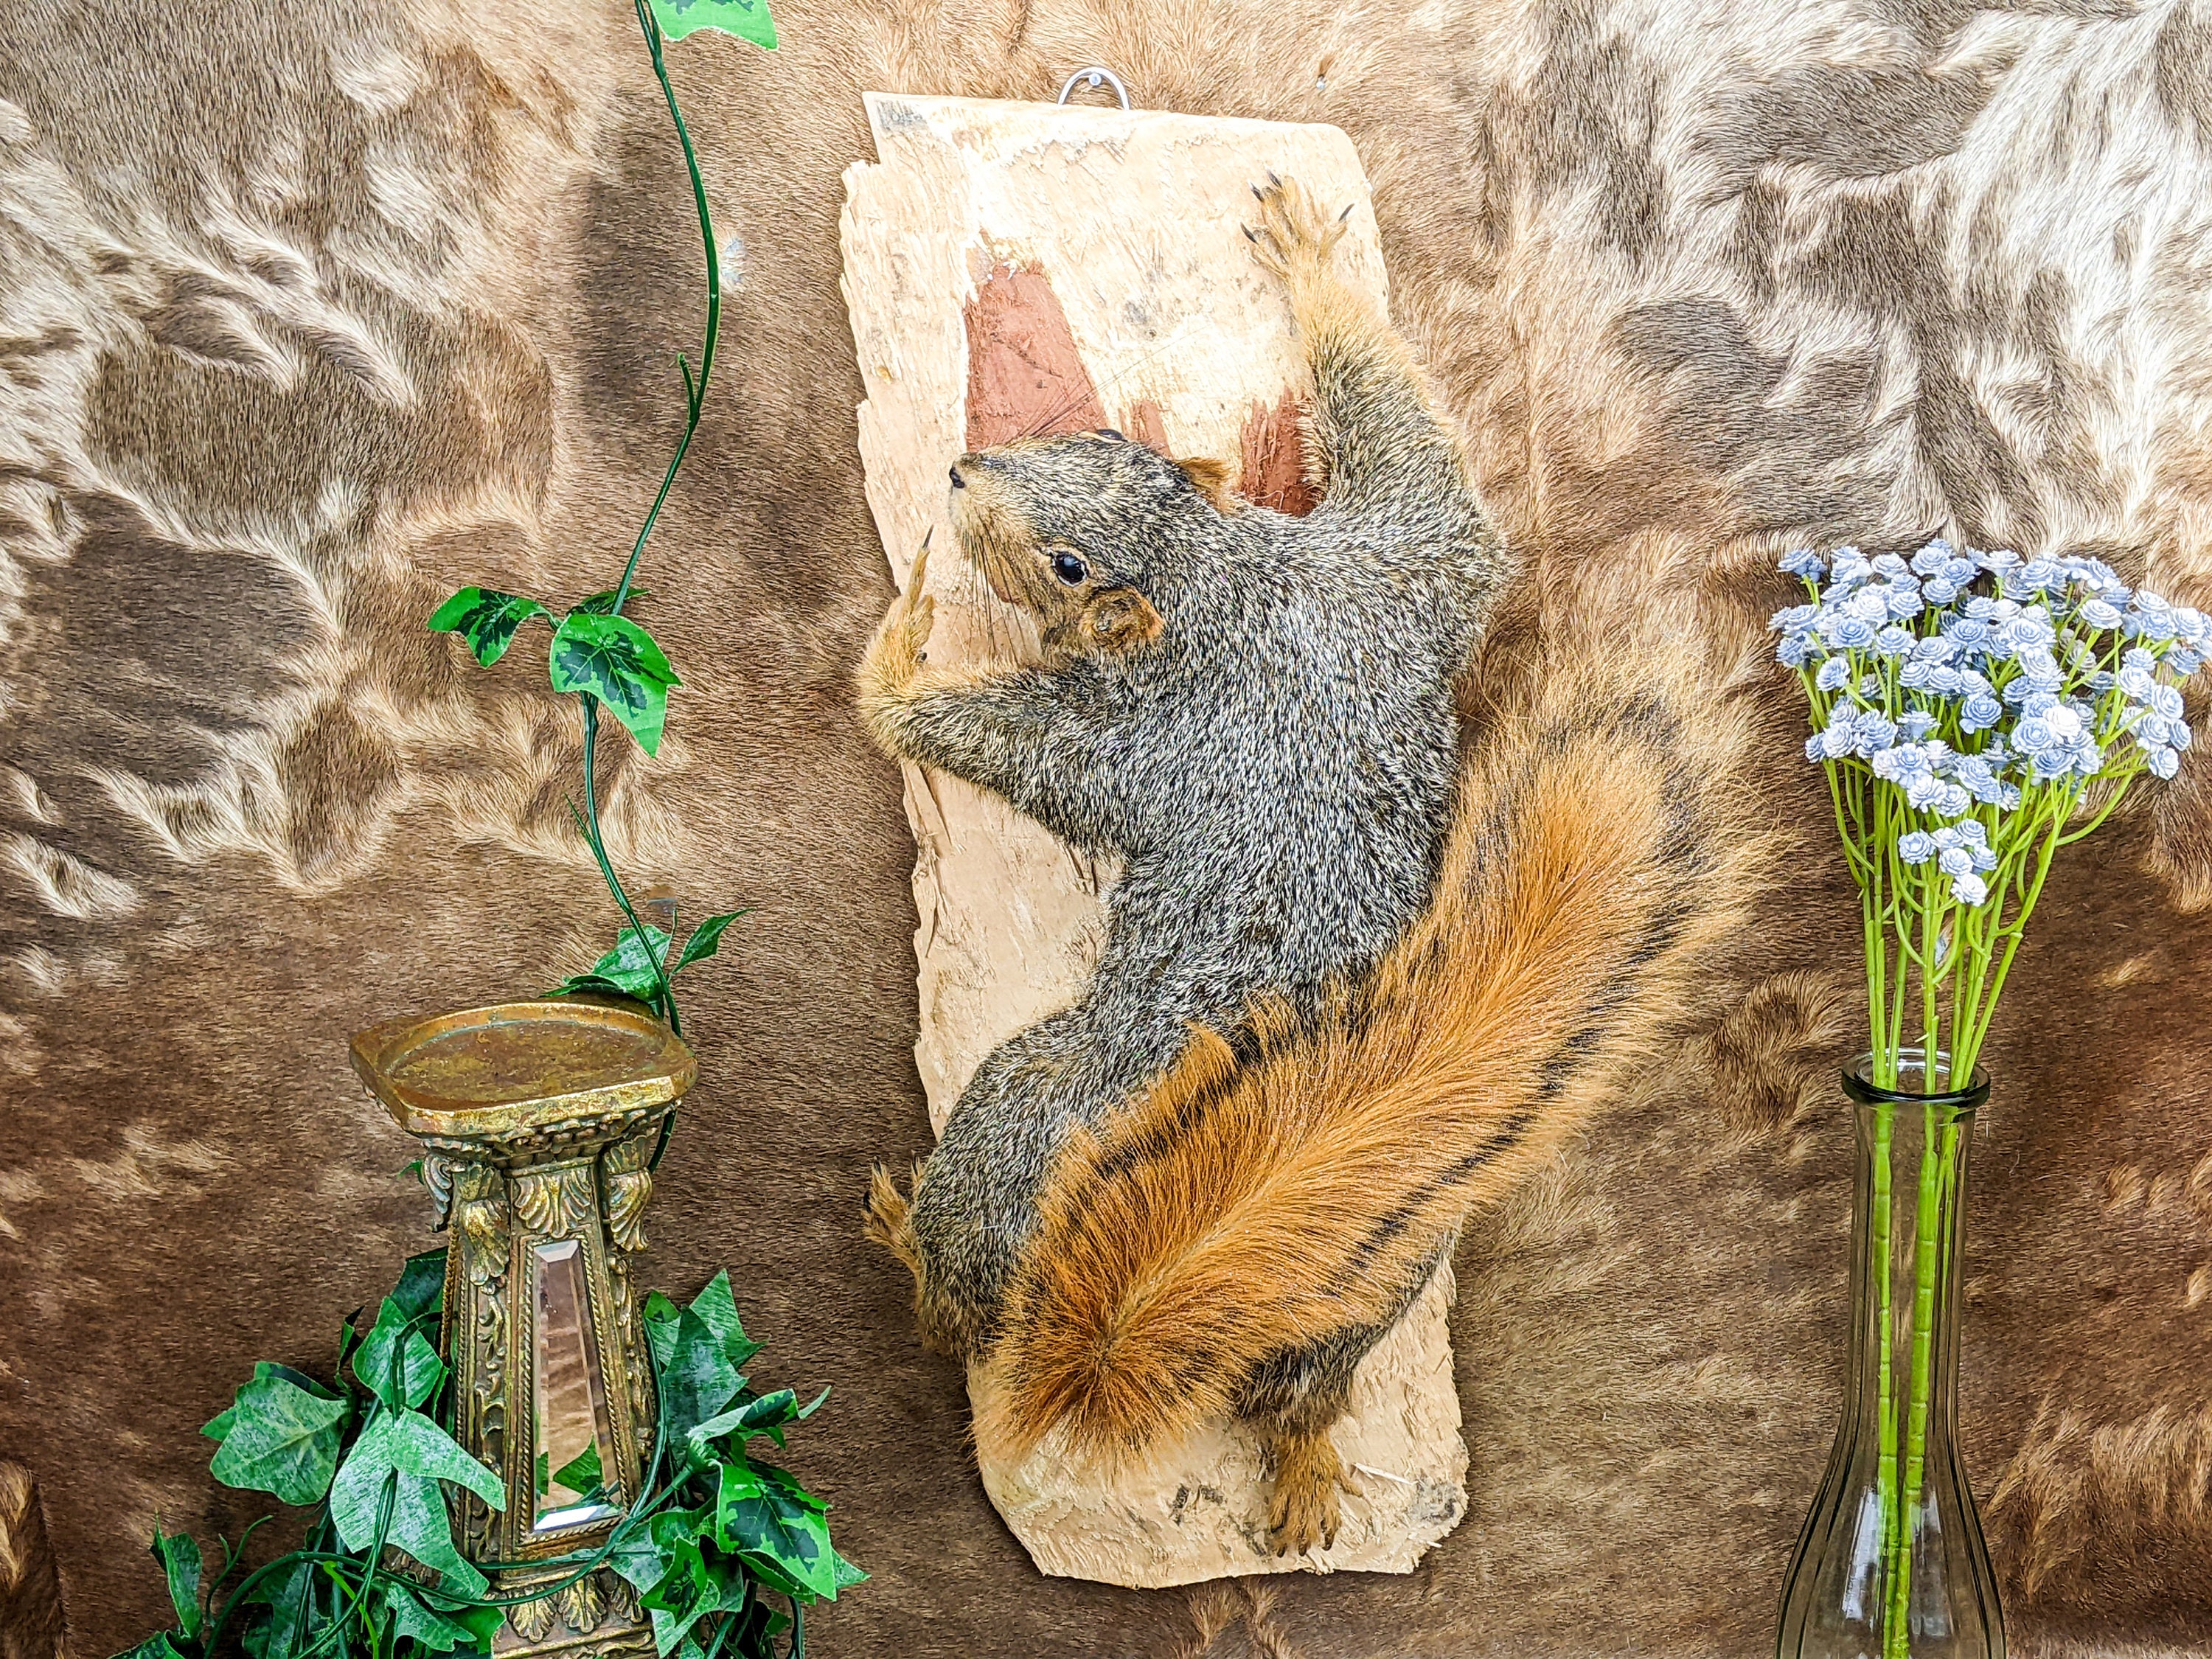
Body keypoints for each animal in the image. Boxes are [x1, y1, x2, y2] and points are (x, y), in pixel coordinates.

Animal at [856, 178, 1513, 1369]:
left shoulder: (1147, 742)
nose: (963, 468)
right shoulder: (1396, 577)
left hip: (1020, 1118)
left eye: (1068, 565)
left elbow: (975, 733)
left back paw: (907, 1244)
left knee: (956, 1315)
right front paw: (1309, 256)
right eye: (1105, 432)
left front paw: (903, 652)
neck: (1223, 589)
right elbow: (1416, 456)